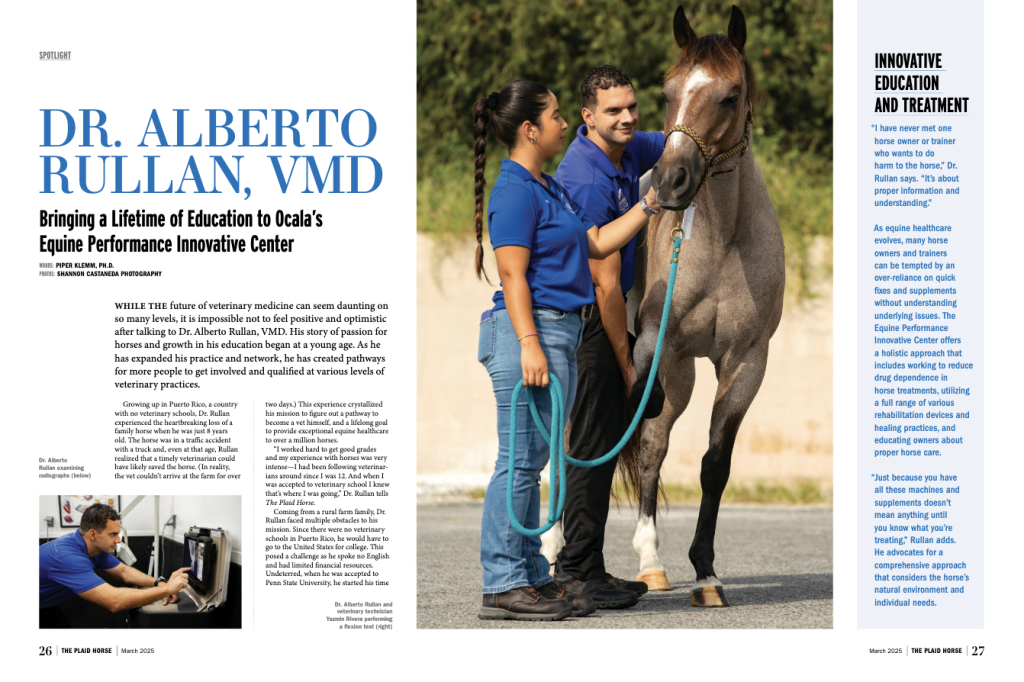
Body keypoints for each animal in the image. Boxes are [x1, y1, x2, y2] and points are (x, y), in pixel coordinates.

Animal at [624, 5, 786, 607]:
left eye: (730, 95)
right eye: (668, 90)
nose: (672, 183)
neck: (720, 241)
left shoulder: (745, 362)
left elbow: (714, 464)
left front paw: (707, 573)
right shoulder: (654, 344)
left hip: (682, 376)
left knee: (653, 446)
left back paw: (652, 564)